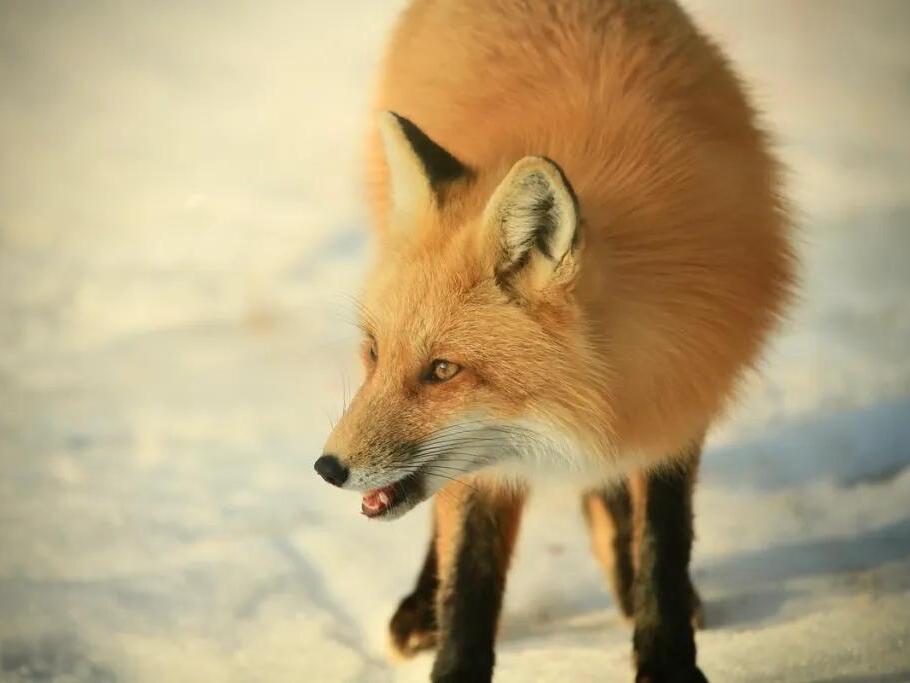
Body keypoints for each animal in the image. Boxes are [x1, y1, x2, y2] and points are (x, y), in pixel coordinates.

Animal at [316, 0, 795, 681]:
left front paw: (666, 656)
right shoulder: (484, 462)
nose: (327, 468)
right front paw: (453, 652)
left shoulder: (680, 396)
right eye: (376, 353)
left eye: (442, 371)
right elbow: (469, 574)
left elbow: (664, 546)